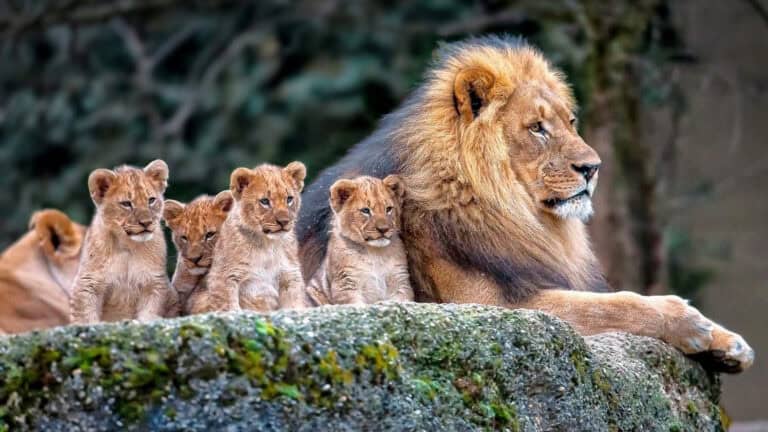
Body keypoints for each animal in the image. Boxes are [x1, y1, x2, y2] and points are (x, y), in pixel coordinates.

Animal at [70, 160, 175, 324]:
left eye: (151, 200)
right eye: (126, 204)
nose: (146, 223)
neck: (128, 245)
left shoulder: (154, 282)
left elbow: (149, 313)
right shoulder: (88, 283)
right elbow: (86, 317)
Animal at [204, 162, 308, 312]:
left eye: (289, 199)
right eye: (265, 201)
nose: (284, 222)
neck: (268, 245)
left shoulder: (290, 276)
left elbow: (295, 304)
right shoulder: (224, 277)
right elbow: (229, 306)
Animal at [306, 175, 413, 305]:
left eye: (388, 209)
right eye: (365, 211)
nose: (383, 229)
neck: (375, 253)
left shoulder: (400, 281)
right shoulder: (346, 284)